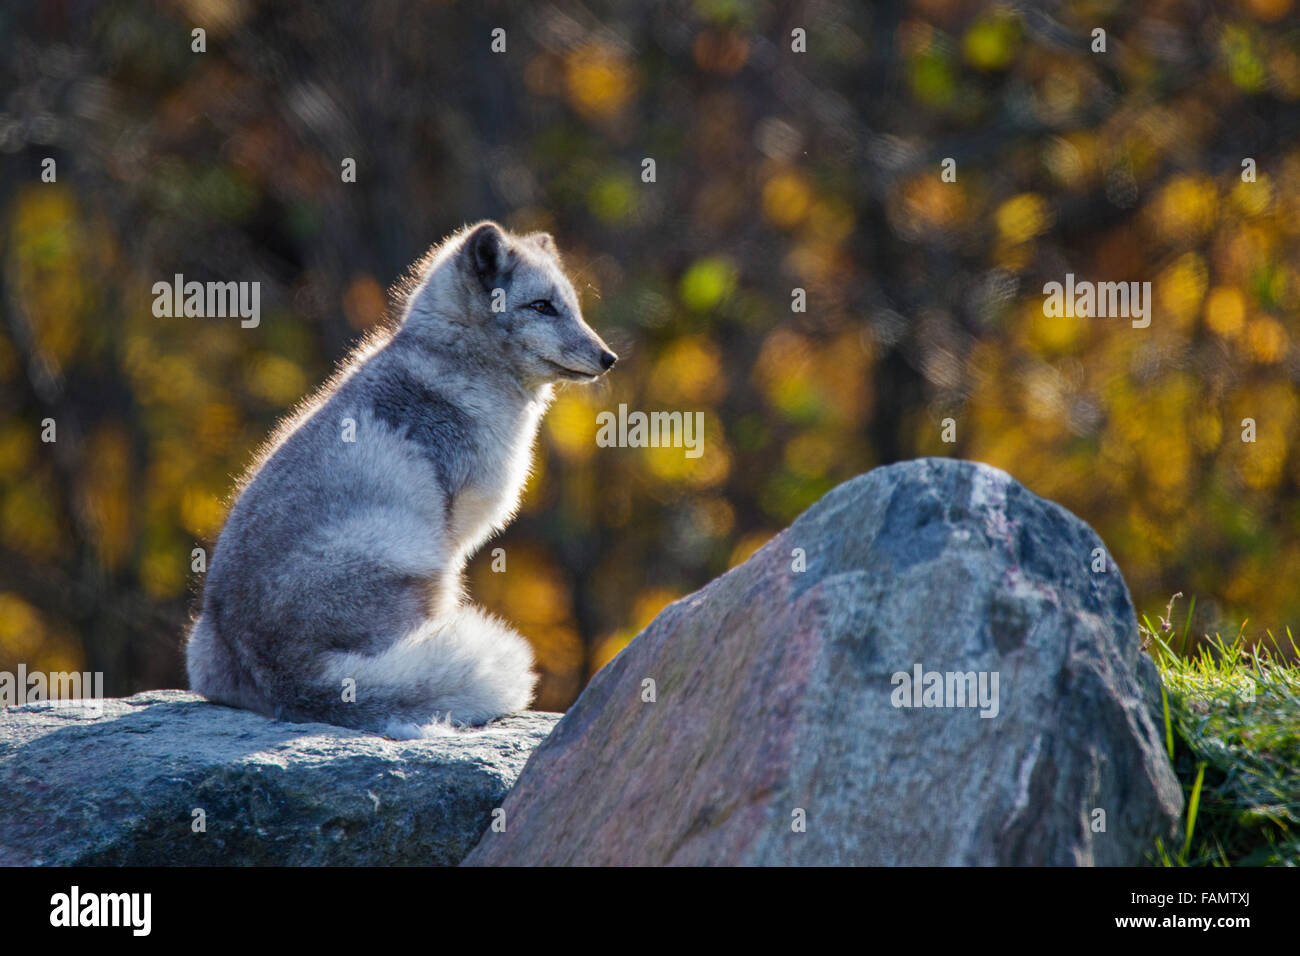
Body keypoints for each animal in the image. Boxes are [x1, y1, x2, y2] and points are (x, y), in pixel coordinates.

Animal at [185, 221, 617, 738]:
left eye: (573, 307)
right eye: (541, 307)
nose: (610, 357)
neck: (459, 366)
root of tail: (282, 675)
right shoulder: (452, 540)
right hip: (413, 552)